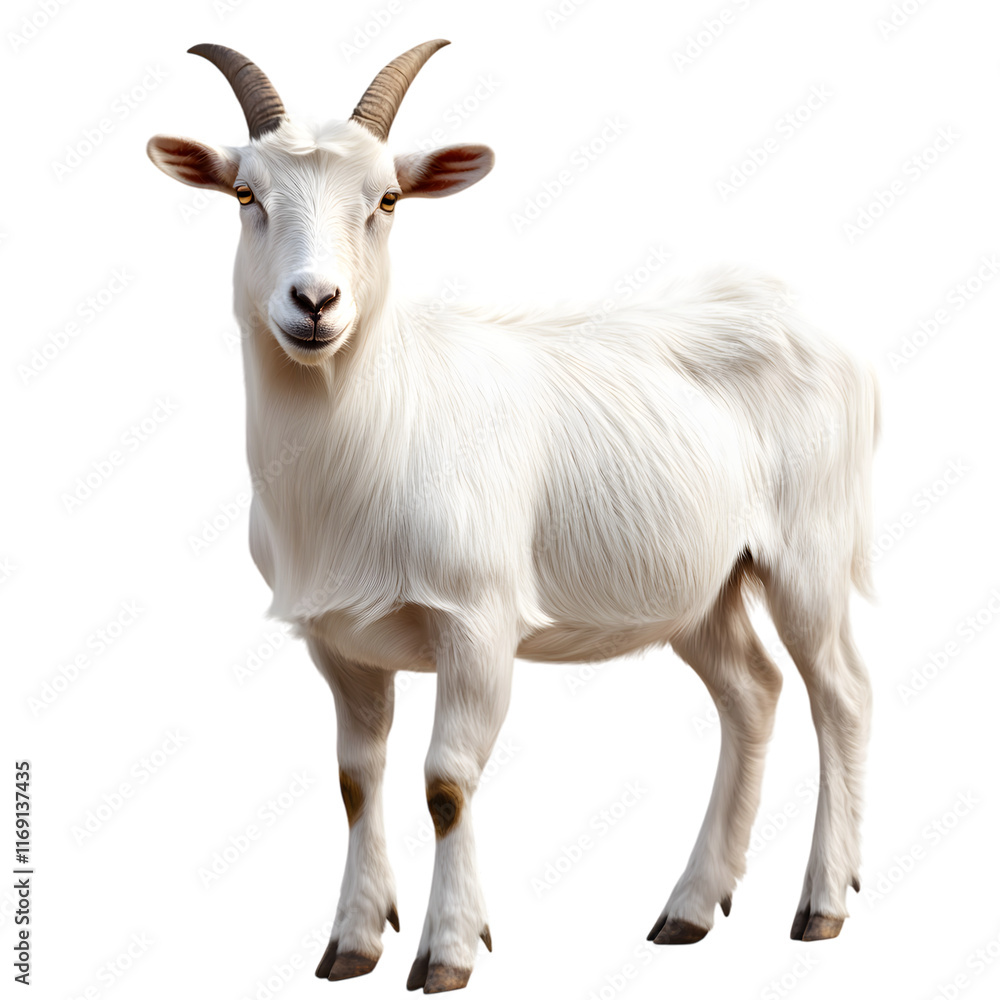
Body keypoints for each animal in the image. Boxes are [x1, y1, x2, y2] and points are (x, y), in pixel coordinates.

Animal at [148, 40, 879, 994]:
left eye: (386, 200)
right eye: (246, 195)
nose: (315, 303)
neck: (377, 430)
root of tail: (810, 320)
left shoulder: (478, 620)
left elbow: (447, 783)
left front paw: (448, 951)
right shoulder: (338, 641)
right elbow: (355, 780)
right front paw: (351, 944)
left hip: (810, 548)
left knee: (842, 695)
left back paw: (822, 906)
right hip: (701, 581)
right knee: (752, 690)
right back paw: (689, 909)